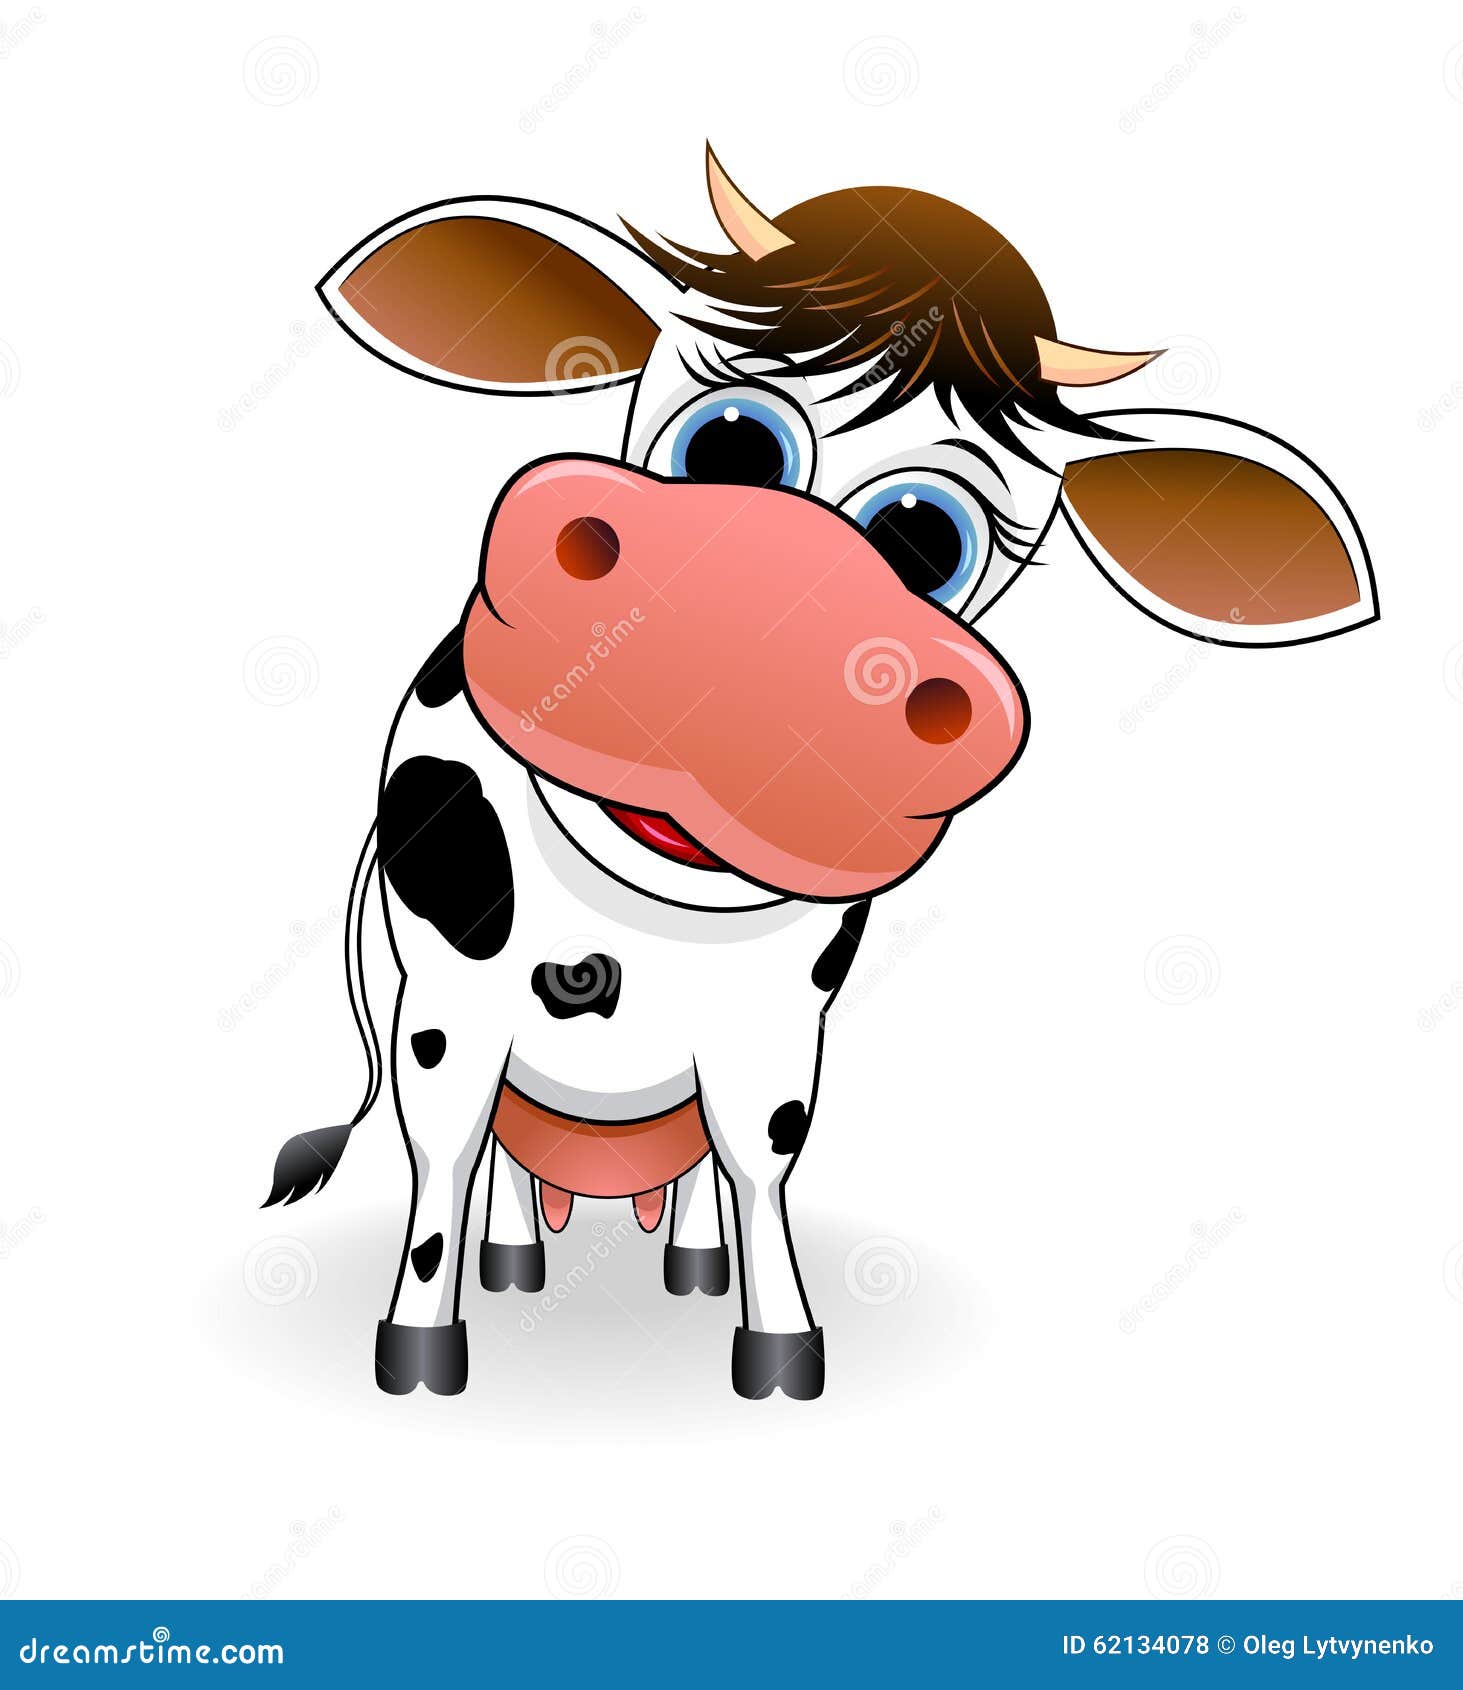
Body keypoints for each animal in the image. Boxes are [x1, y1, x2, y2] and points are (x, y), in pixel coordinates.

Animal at [264, 147, 1376, 1401]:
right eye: (730, 444)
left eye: (924, 536)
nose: (758, 640)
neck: (628, 914)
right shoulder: (448, 999)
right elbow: (443, 1149)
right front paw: (418, 1349)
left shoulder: (779, 1022)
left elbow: (760, 1158)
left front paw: (779, 1344)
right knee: (502, 1150)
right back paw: (513, 1261)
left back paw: (688, 1264)